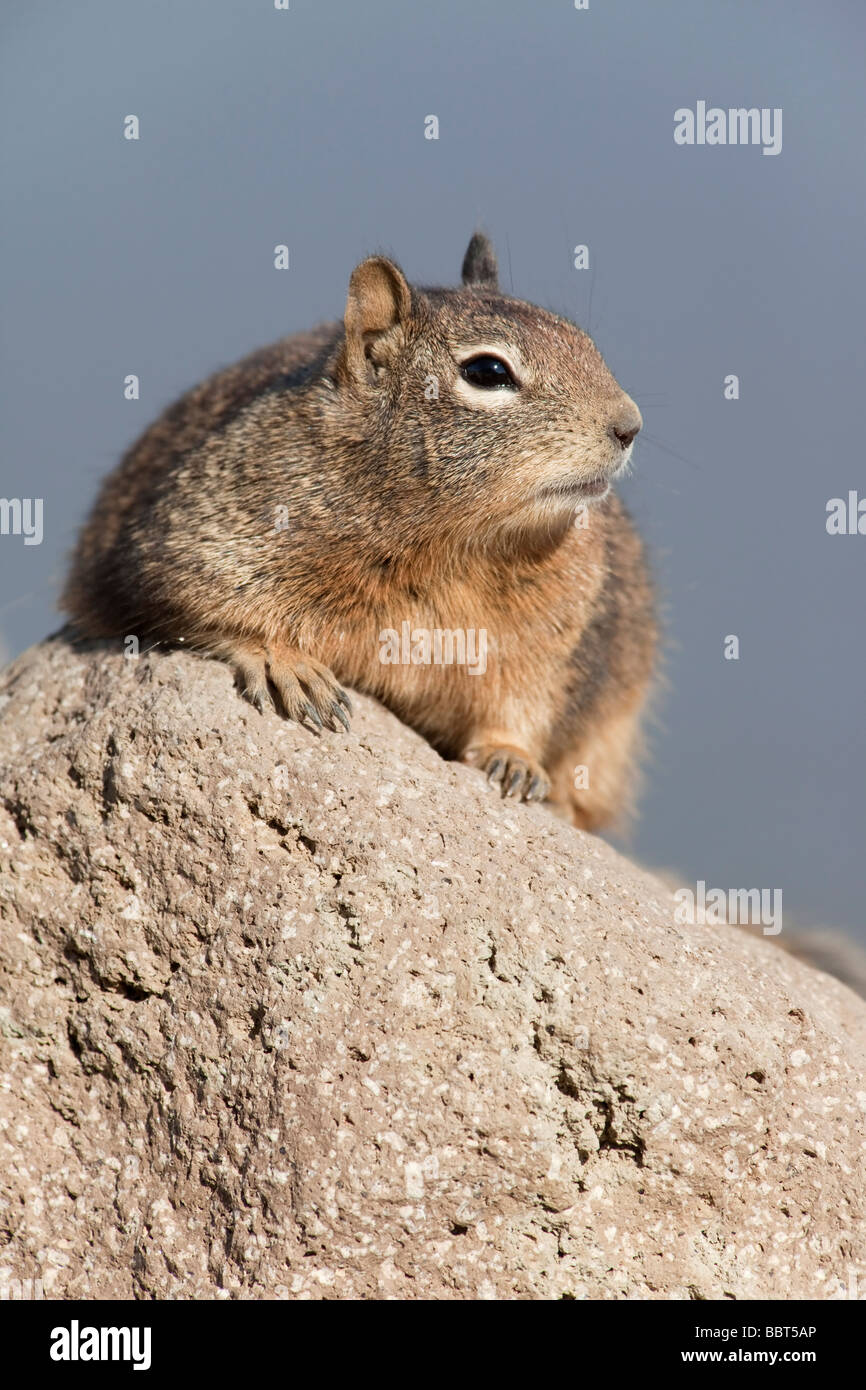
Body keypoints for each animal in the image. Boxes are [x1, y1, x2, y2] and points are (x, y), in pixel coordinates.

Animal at [62, 233, 657, 830]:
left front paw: (512, 758)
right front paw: (283, 661)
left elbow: (525, 703)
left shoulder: (552, 638)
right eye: (488, 372)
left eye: (585, 343)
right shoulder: (190, 538)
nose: (630, 425)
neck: (451, 540)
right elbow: (187, 604)